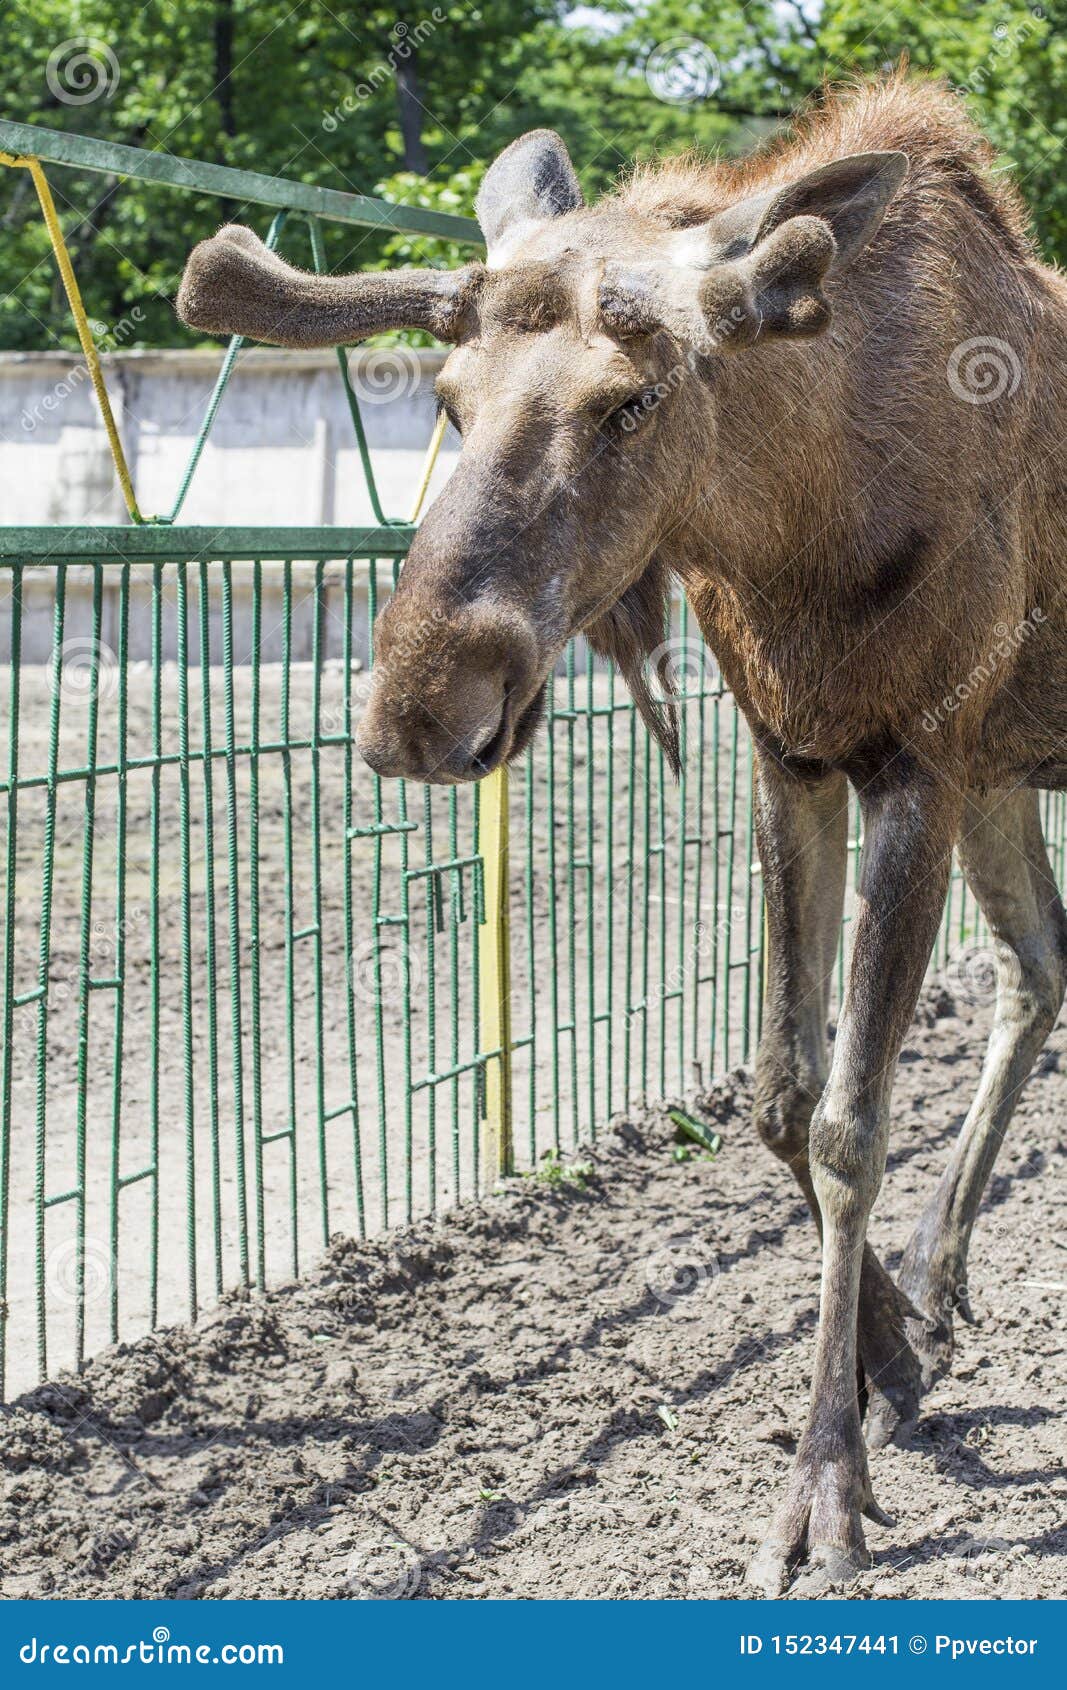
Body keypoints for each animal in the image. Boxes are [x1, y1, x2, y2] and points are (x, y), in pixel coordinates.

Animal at [177, 71, 1067, 1595]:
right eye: (445, 399)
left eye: (632, 400)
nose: (418, 707)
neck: (798, 537)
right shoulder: (796, 756)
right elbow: (777, 1095)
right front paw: (889, 1361)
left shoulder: (916, 762)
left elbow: (849, 1123)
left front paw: (823, 1483)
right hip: (1010, 767)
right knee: (1035, 969)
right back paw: (939, 1281)